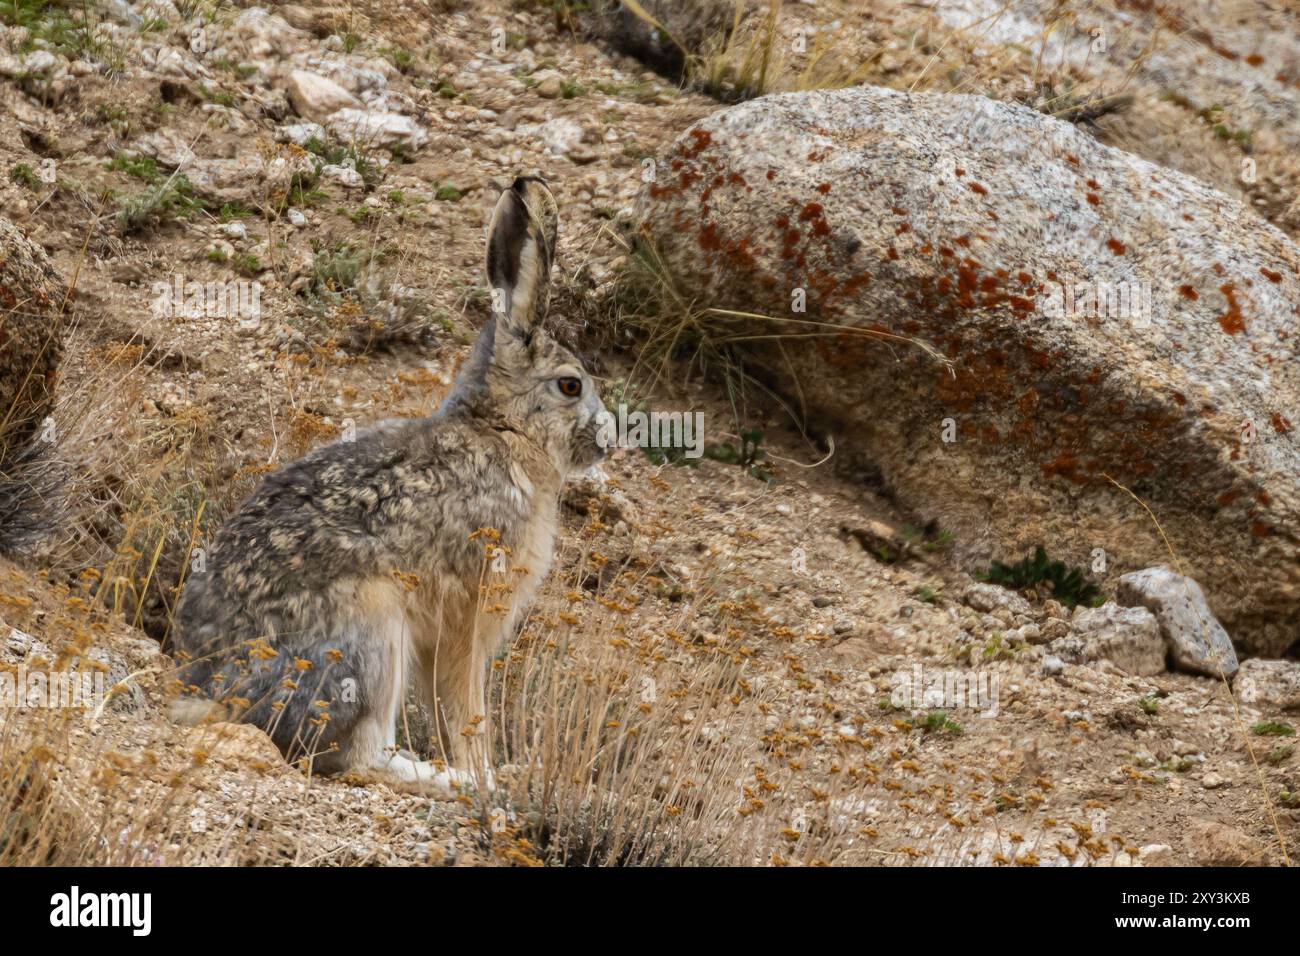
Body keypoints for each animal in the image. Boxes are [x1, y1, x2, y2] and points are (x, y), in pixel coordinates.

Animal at [170, 177, 611, 795]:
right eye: (571, 386)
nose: (607, 441)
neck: (502, 428)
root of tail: (212, 687)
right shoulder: (471, 611)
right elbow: (466, 706)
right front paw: (486, 780)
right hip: (373, 631)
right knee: (358, 758)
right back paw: (449, 781)